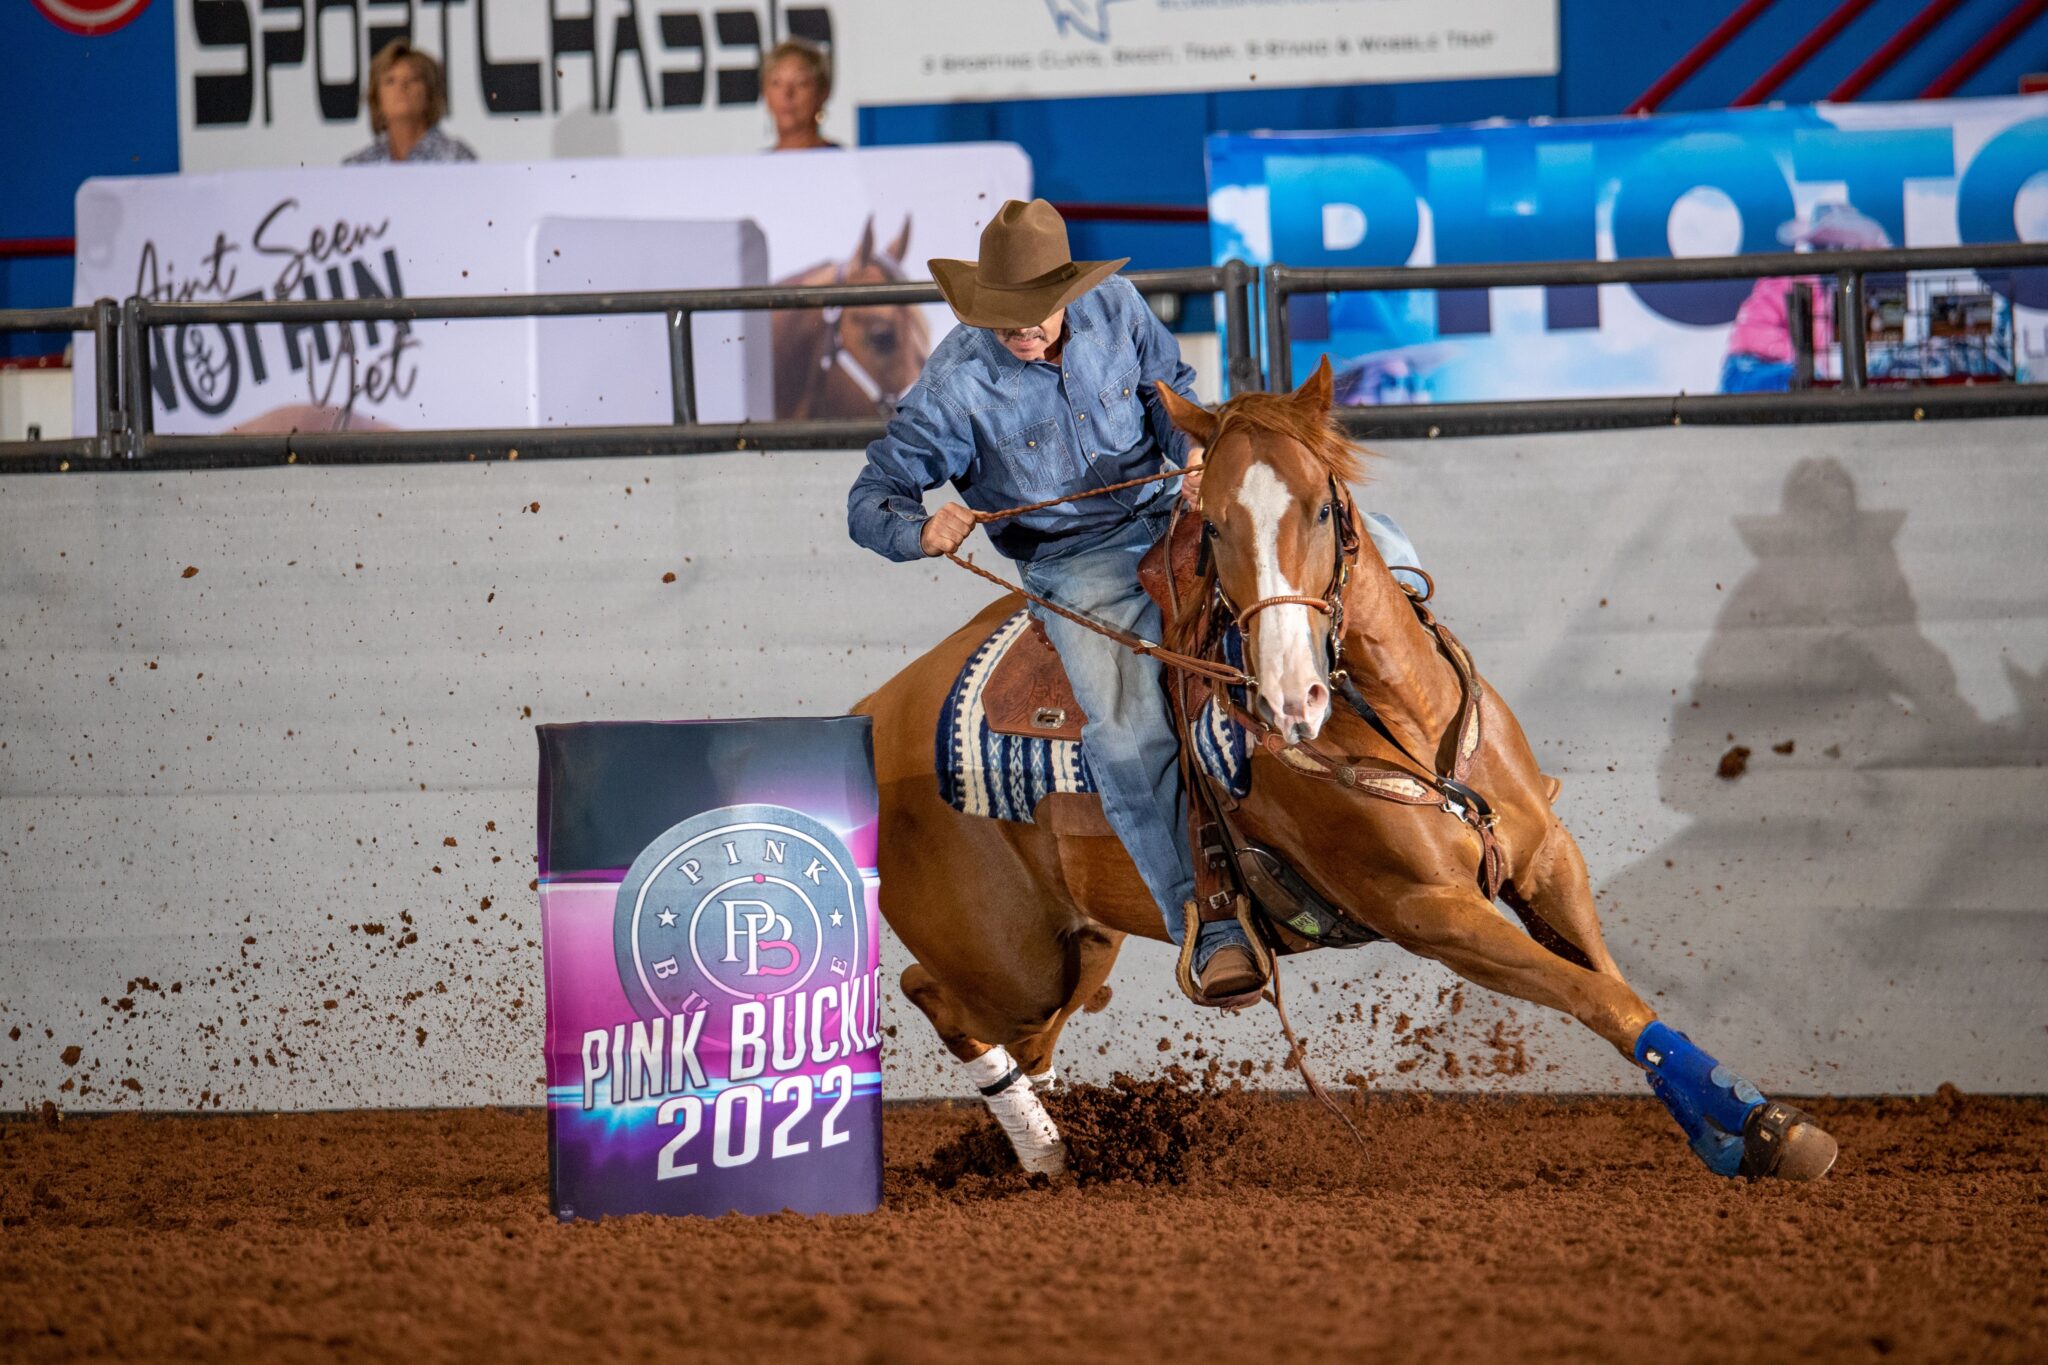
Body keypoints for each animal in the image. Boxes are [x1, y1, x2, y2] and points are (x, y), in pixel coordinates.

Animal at [854, 357, 1841, 1183]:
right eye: (1216, 526)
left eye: (1322, 509)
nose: (1293, 697)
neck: (1402, 716)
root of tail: (876, 708)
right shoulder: (1429, 911)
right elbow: (1598, 998)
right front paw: (1765, 1132)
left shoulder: (1543, 858)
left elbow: (1617, 984)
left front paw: (1747, 1124)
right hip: (1005, 956)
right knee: (933, 995)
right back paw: (1045, 1150)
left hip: (1077, 945)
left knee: (1021, 1033)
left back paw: (1062, 1144)